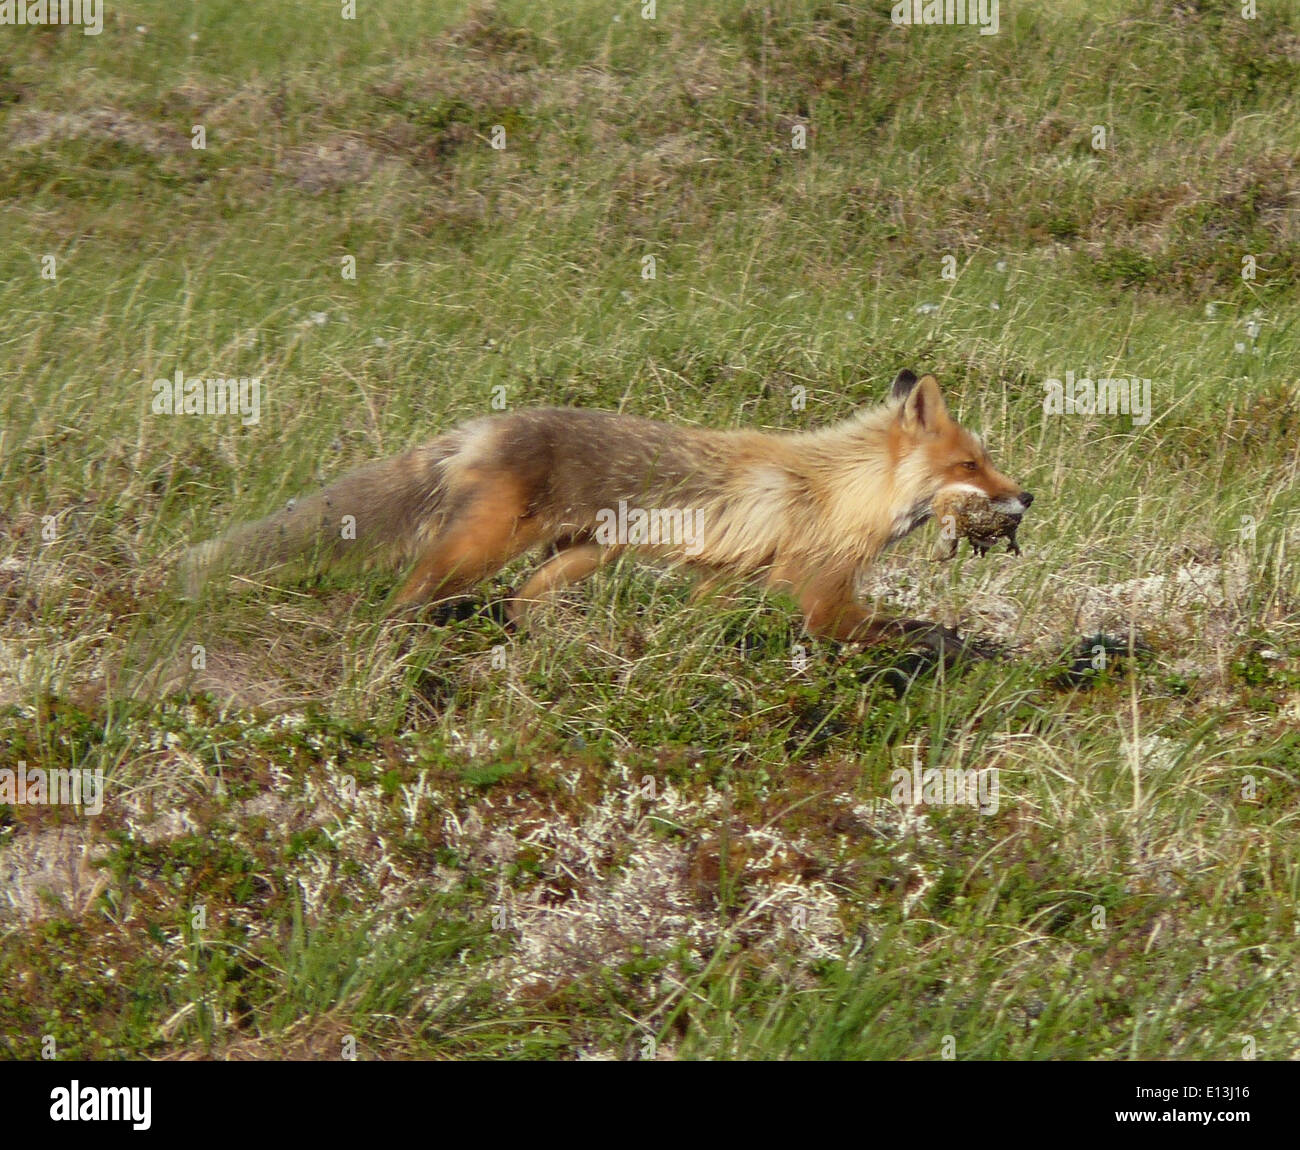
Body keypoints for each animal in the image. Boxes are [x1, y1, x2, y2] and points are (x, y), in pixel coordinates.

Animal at [183, 370, 1032, 651]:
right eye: (971, 465)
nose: (1026, 497)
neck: (838, 491)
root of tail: (483, 425)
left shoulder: (725, 579)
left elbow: (701, 622)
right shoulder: (820, 593)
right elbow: (904, 630)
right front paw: (958, 646)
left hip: (581, 553)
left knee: (522, 603)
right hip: (478, 550)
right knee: (410, 596)